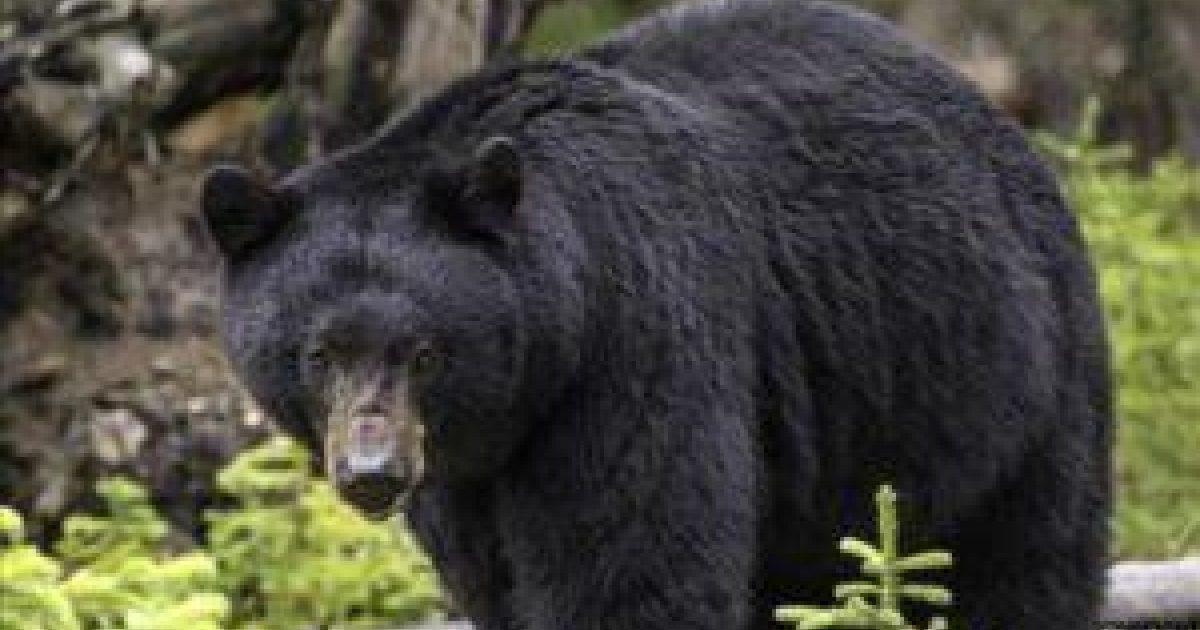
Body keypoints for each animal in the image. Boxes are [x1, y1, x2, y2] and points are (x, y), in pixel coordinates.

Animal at [200, 1, 1112, 630]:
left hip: (1006, 385)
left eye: (425, 350)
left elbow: (632, 561)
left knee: (1024, 564)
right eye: (319, 353)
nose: (373, 470)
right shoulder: (462, 473)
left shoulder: (632, 345)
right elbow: (495, 582)